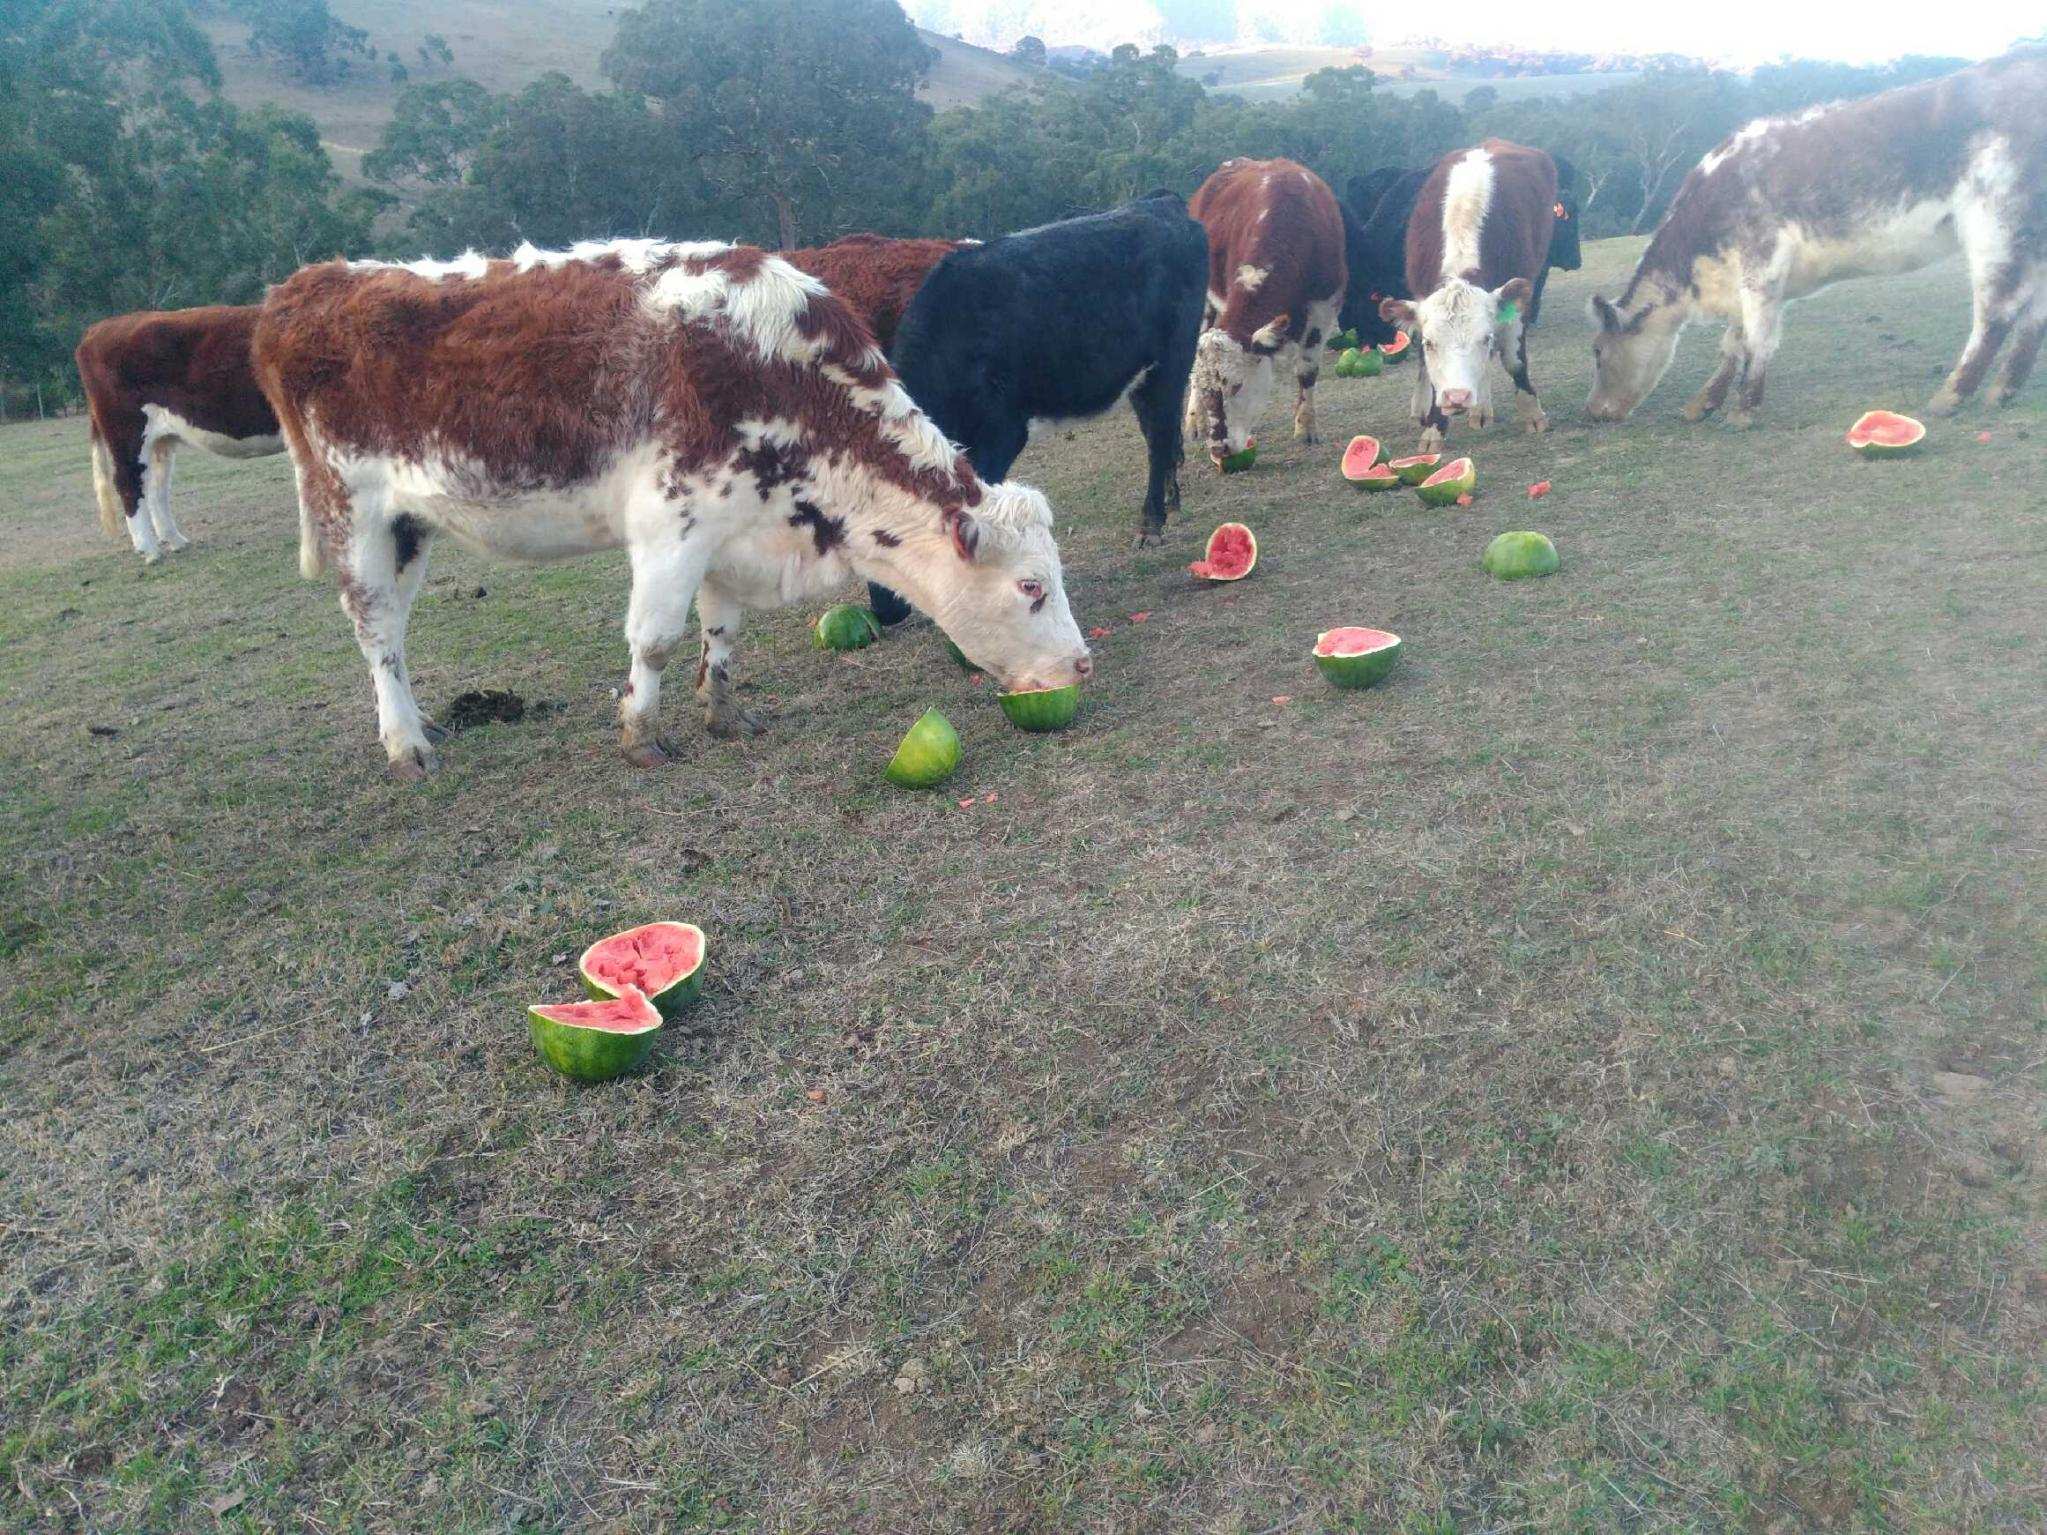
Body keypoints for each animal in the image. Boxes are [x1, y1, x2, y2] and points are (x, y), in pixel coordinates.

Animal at [73, 306, 284, 563]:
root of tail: (99, 328)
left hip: (160, 439)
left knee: (156, 487)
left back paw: (174, 540)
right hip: (126, 430)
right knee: (128, 481)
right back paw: (150, 550)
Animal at [860, 192, 1209, 625]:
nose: (884, 611)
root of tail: (1161, 202)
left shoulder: (1003, 431)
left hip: (1172, 360)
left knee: (1159, 437)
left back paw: (1151, 524)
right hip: (1143, 376)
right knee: (1160, 432)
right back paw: (1171, 501)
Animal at [1186, 158, 1348, 467]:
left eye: (1236, 385)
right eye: (1207, 388)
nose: (1219, 449)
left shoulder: (1325, 305)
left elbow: (1307, 370)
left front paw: (1305, 427)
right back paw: (1193, 421)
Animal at [1377, 139, 1558, 453]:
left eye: (1484, 338)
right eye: (1430, 343)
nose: (1457, 397)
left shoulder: (1515, 306)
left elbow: (1513, 360)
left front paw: (1532, 413)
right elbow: (1429, 369)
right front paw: (1433, 428)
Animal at [1588, 51, 2047, 426]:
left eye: (1597, 352)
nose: (1591, 411)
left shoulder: (1762, 261)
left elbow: (1756, 339)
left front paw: (1743, 411)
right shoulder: (1755, 282)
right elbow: (1733, 342)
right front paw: (1703, 404)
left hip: (1994, 223)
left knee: (1997, 312)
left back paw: (1949, 396)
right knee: (2034, 315)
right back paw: (2001, 392)